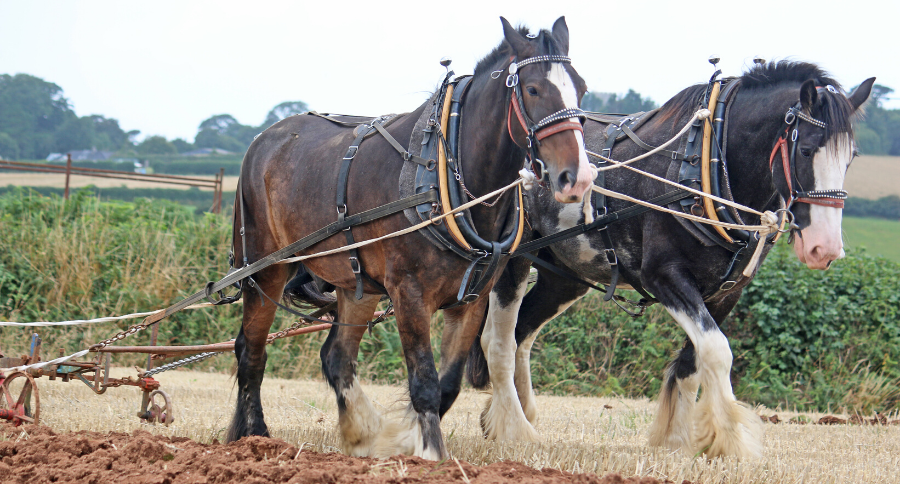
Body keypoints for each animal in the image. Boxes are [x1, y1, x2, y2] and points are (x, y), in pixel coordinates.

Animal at [226, 17, 593, 461]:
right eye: (534, 89)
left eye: (582, 88)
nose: (578, 177)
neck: (445, 175)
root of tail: (265, 139)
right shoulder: (409, 294)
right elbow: (425, 382)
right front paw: (431, 454)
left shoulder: (472, 299)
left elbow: (447, 385)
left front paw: (407, 442)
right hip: (265, 268)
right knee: (251, 351)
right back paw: (254, 437)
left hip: (357, 284)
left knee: (337, 357)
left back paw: (362, 432)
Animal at [467, 61, 874, 458]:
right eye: (805, 150)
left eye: (851, 157)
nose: (825, 249)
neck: (706, 167)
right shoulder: (665, 278)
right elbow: (717, 352)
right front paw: (731, 440)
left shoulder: (726, 291)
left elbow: (694, 362)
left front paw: (677, 440)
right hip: (512, 260)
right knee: (499, 344)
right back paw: (515, 428)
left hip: (562, 277)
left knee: (523, 334)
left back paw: (509, 416)